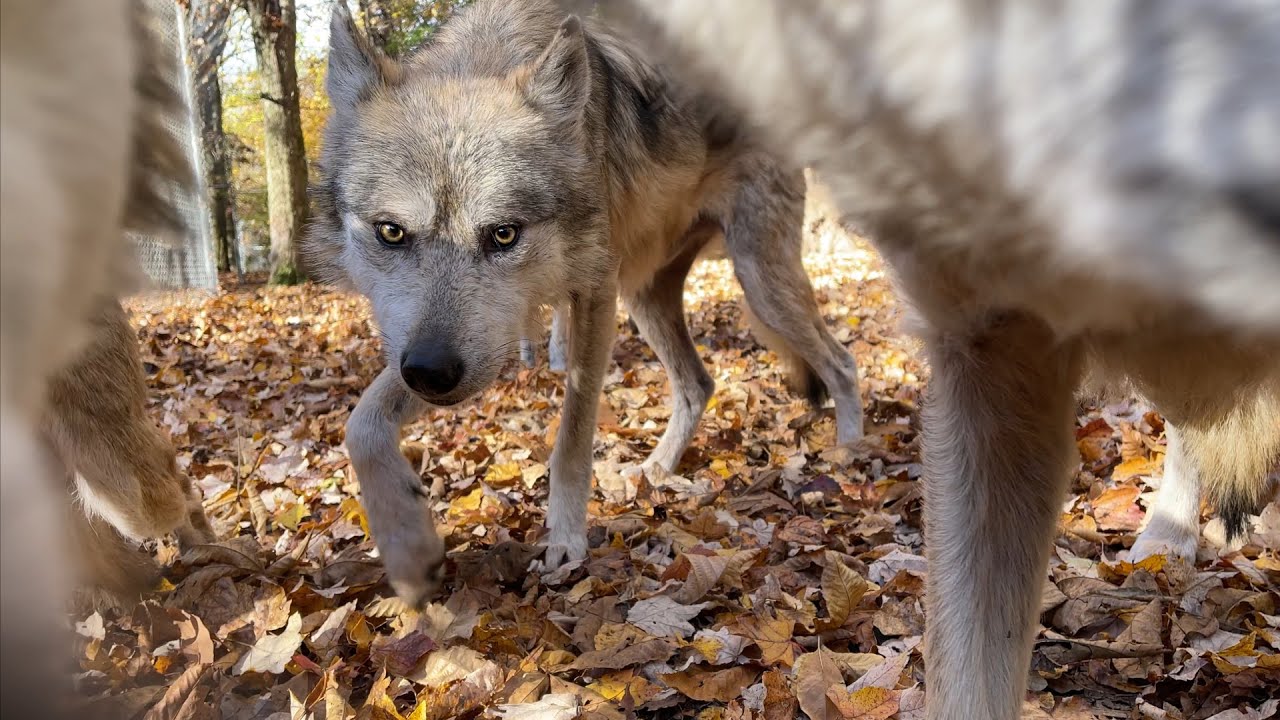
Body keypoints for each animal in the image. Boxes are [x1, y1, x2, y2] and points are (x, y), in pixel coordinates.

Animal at [306, 0, 867, 605]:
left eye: (503, 234)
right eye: (391, 232)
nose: (431, 372)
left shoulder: (592, 294)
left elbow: (572, 439)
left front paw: (566, 540)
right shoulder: (460, 346)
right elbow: (361, 425)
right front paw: (409, 550)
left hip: (759, 283)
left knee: (842, 362)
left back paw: (850, 456)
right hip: (645, 299)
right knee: (699, 384)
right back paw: (653, 472)